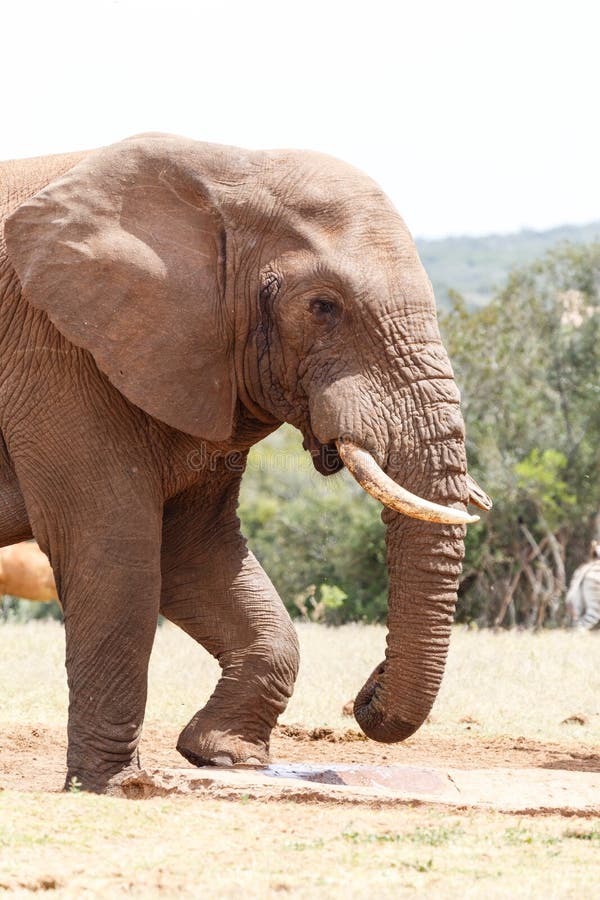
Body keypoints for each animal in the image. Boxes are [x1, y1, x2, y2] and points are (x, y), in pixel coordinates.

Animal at [0, 133, 490, 792]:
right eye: (323, 306)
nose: (366, 689)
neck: (230, 170)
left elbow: (195, 552)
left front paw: (225, 757)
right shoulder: (57, 350)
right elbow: (112, 550)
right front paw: (118, 787)